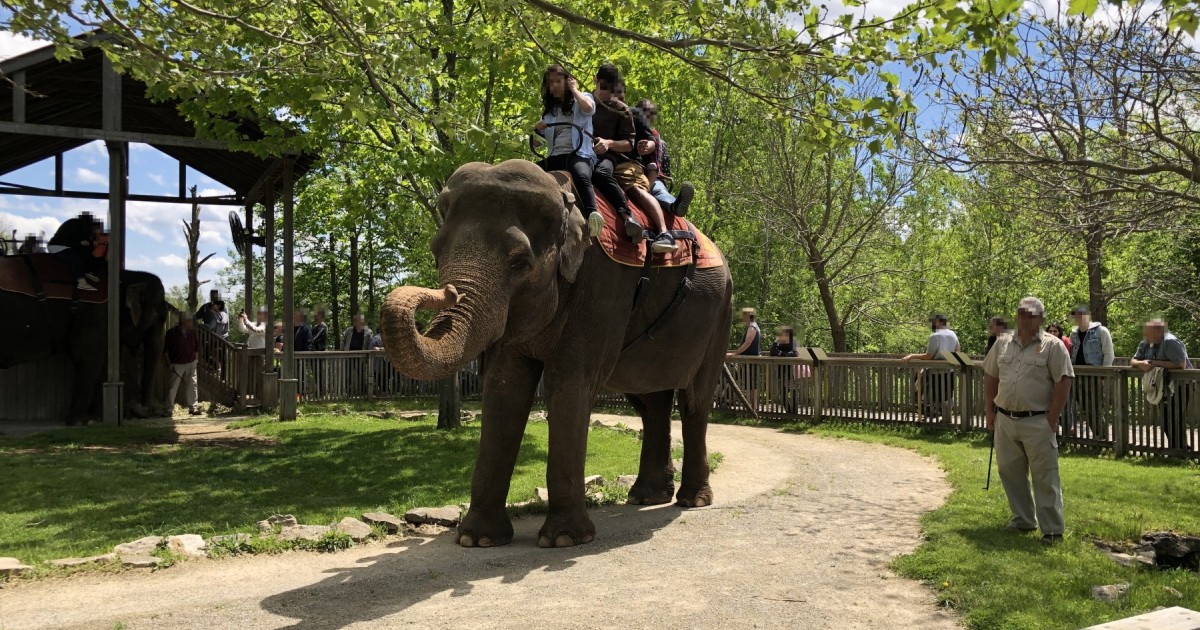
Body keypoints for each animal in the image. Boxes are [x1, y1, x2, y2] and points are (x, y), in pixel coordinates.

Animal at [0, 265, 168, 423]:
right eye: (159, 319)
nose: (136, 407)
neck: (126, 276)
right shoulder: (95, 317)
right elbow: (90, 360)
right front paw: (81, 421)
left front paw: (96, 417)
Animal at [380, 159, 733, 549]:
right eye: (435, 252)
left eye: (520, 262)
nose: (445, 293)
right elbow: (505, 388)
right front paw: (478, 540)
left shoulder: (604, 284)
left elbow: (569, 383)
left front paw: (564, 540)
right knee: (650, 402)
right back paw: (646, 497)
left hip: (720, 316)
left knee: (694, 401)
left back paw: (692, 500)